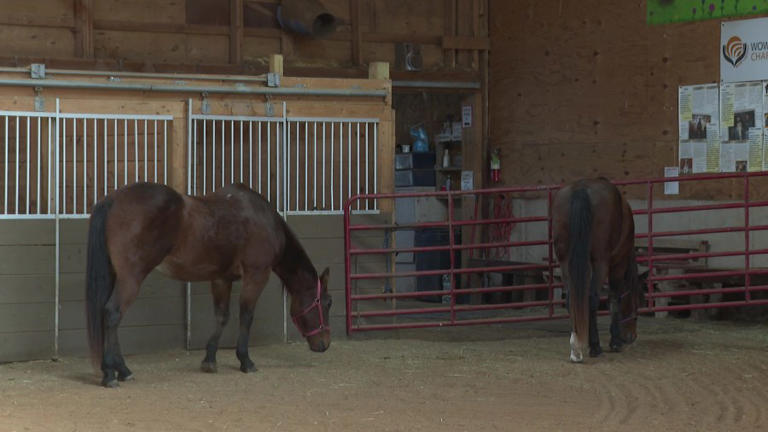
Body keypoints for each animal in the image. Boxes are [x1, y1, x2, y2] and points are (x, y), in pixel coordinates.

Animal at [85, 182, 331, 387]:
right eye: (326, 303)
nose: (324, 345)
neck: (263, 220)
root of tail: (114, 199)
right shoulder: (256, 275)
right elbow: (246, 316)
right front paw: (246, 360)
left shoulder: (221, 278)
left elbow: (222, 316)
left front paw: (210, 359)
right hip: (131, 277)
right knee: (113, 313)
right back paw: (110, 374)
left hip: (116, 275)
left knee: (109, 315)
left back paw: (122, 370)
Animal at [551, 178, 641, 363]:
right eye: (638, 301)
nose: (631, 336)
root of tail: (580, 189)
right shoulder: (617, 263)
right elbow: (614, 299)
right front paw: (615, 342)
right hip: (601, 263)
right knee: (592, 297)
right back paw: (595, 346)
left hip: (565, 262)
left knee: (571, 298)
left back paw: (576, 348)